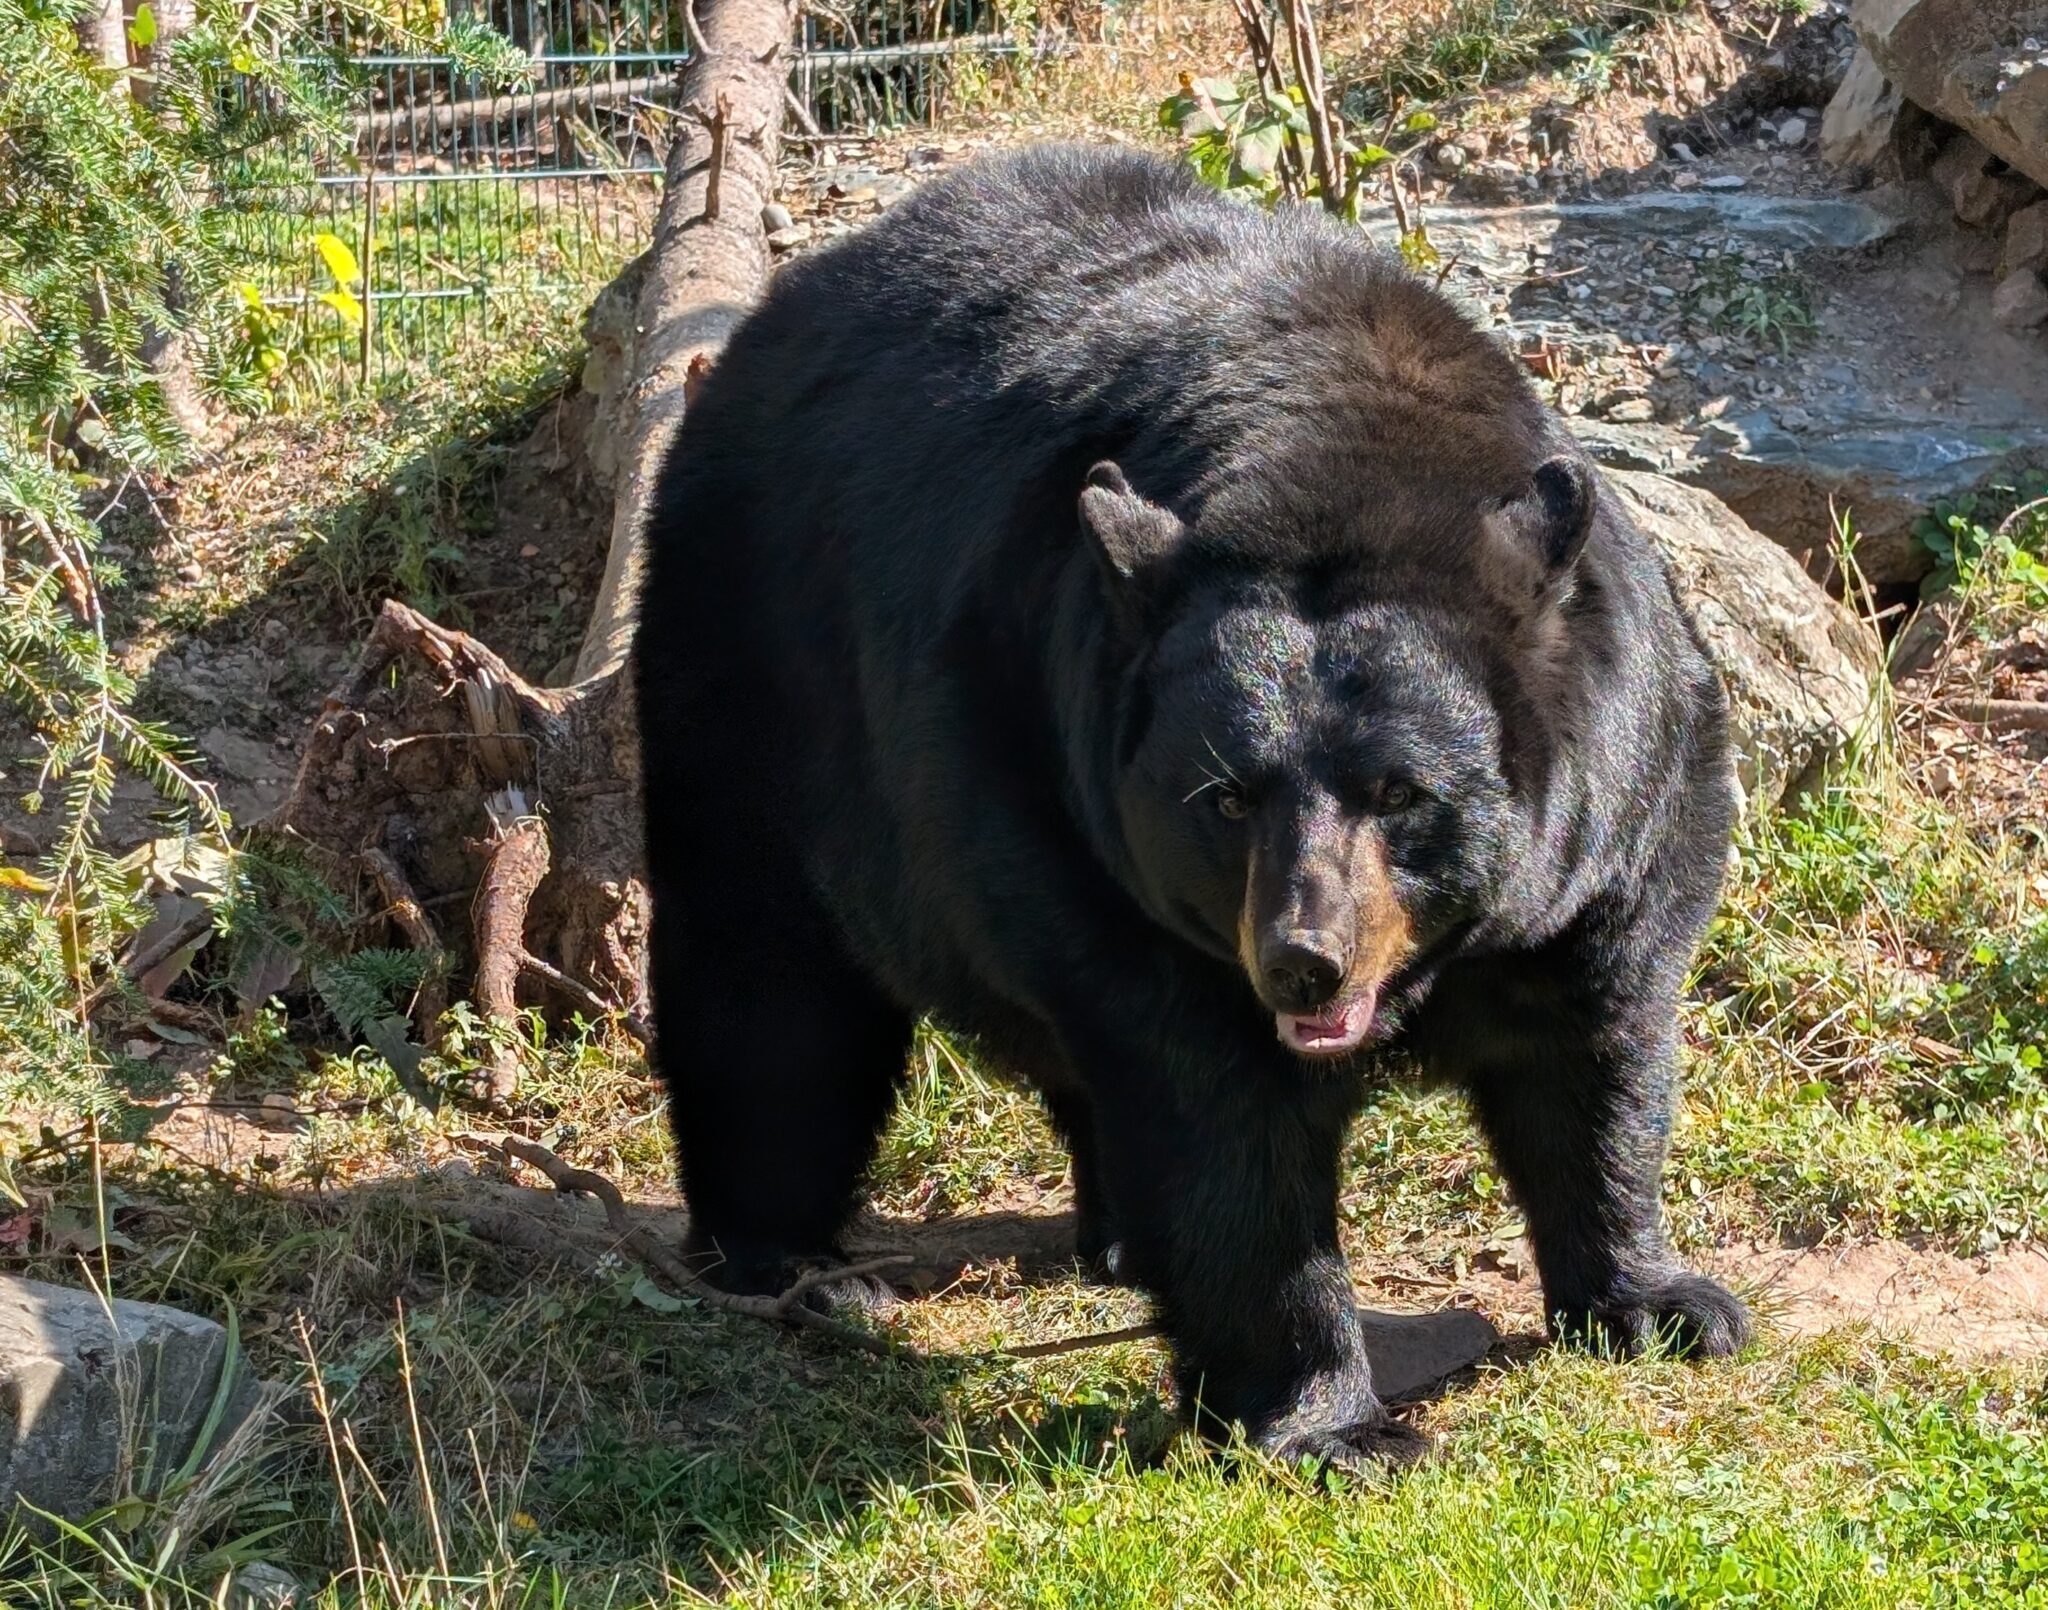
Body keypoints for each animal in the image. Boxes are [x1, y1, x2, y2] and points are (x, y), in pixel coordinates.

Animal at [634, 143, 1750, 1471]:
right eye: (1221, 796)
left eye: (1399, 791)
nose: (1303, 961)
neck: (1340, 453)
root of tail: (757, 328)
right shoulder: (1070, 812)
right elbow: (1216, 1119)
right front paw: (1335, 1421)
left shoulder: (1623, 801)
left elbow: (1594, 1044)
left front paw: (1658, 1299)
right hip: (756, 670)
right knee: (766, 983)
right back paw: (790, 1257)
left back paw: (1110, 1235)